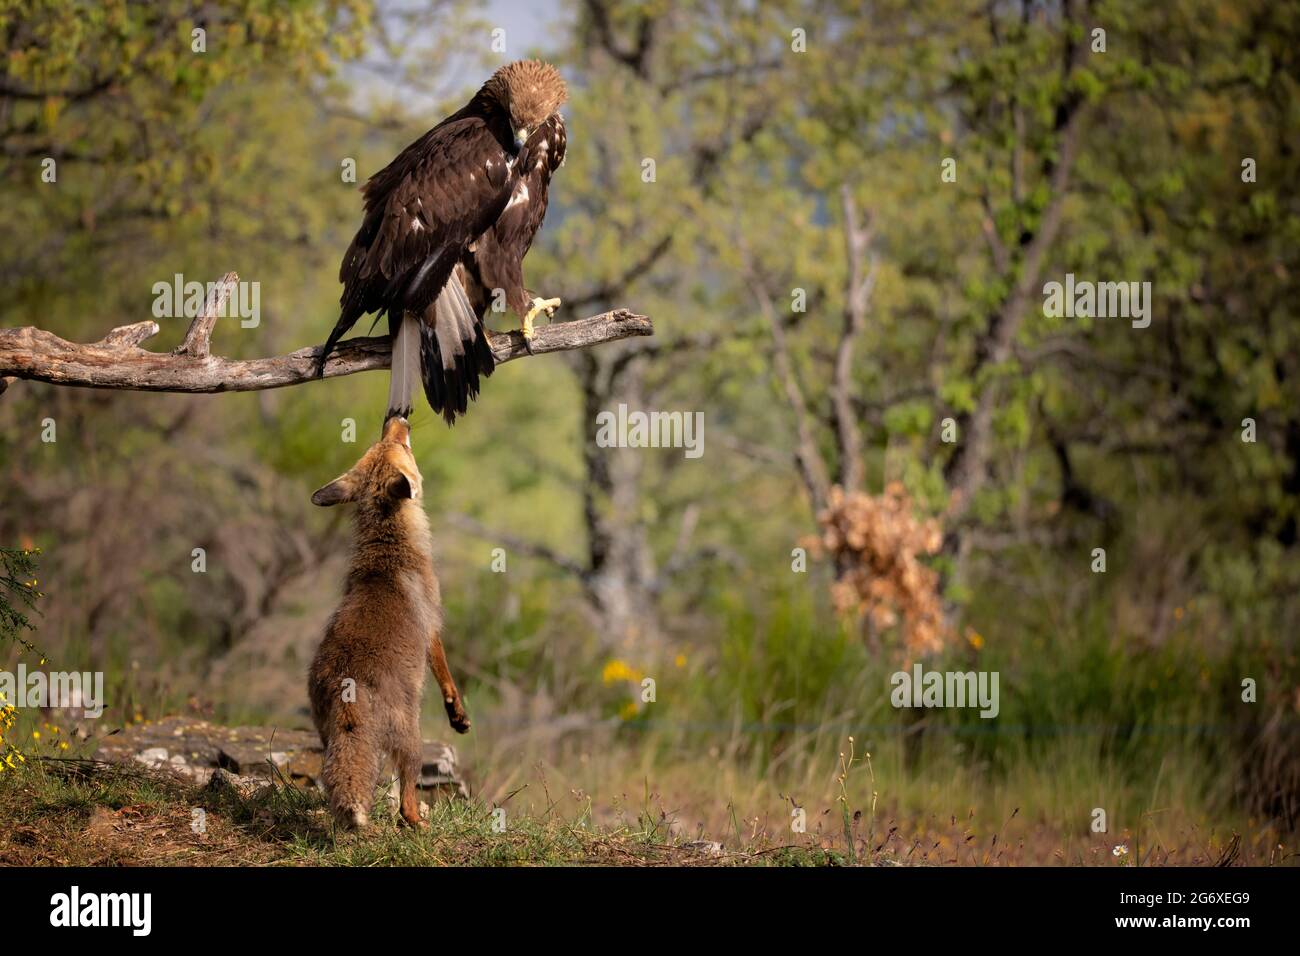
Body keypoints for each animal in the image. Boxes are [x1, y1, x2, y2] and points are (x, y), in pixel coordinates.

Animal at [307, 415, 470, 830]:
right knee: (406, 801)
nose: (397, 419)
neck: (388, 547)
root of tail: (348, 683)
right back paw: (420, 824)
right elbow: (446, 676)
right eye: (403, 447)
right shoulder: (433, 628)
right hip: (412, 739)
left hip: (329, 737)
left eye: (379, 444)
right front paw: (458, 715)